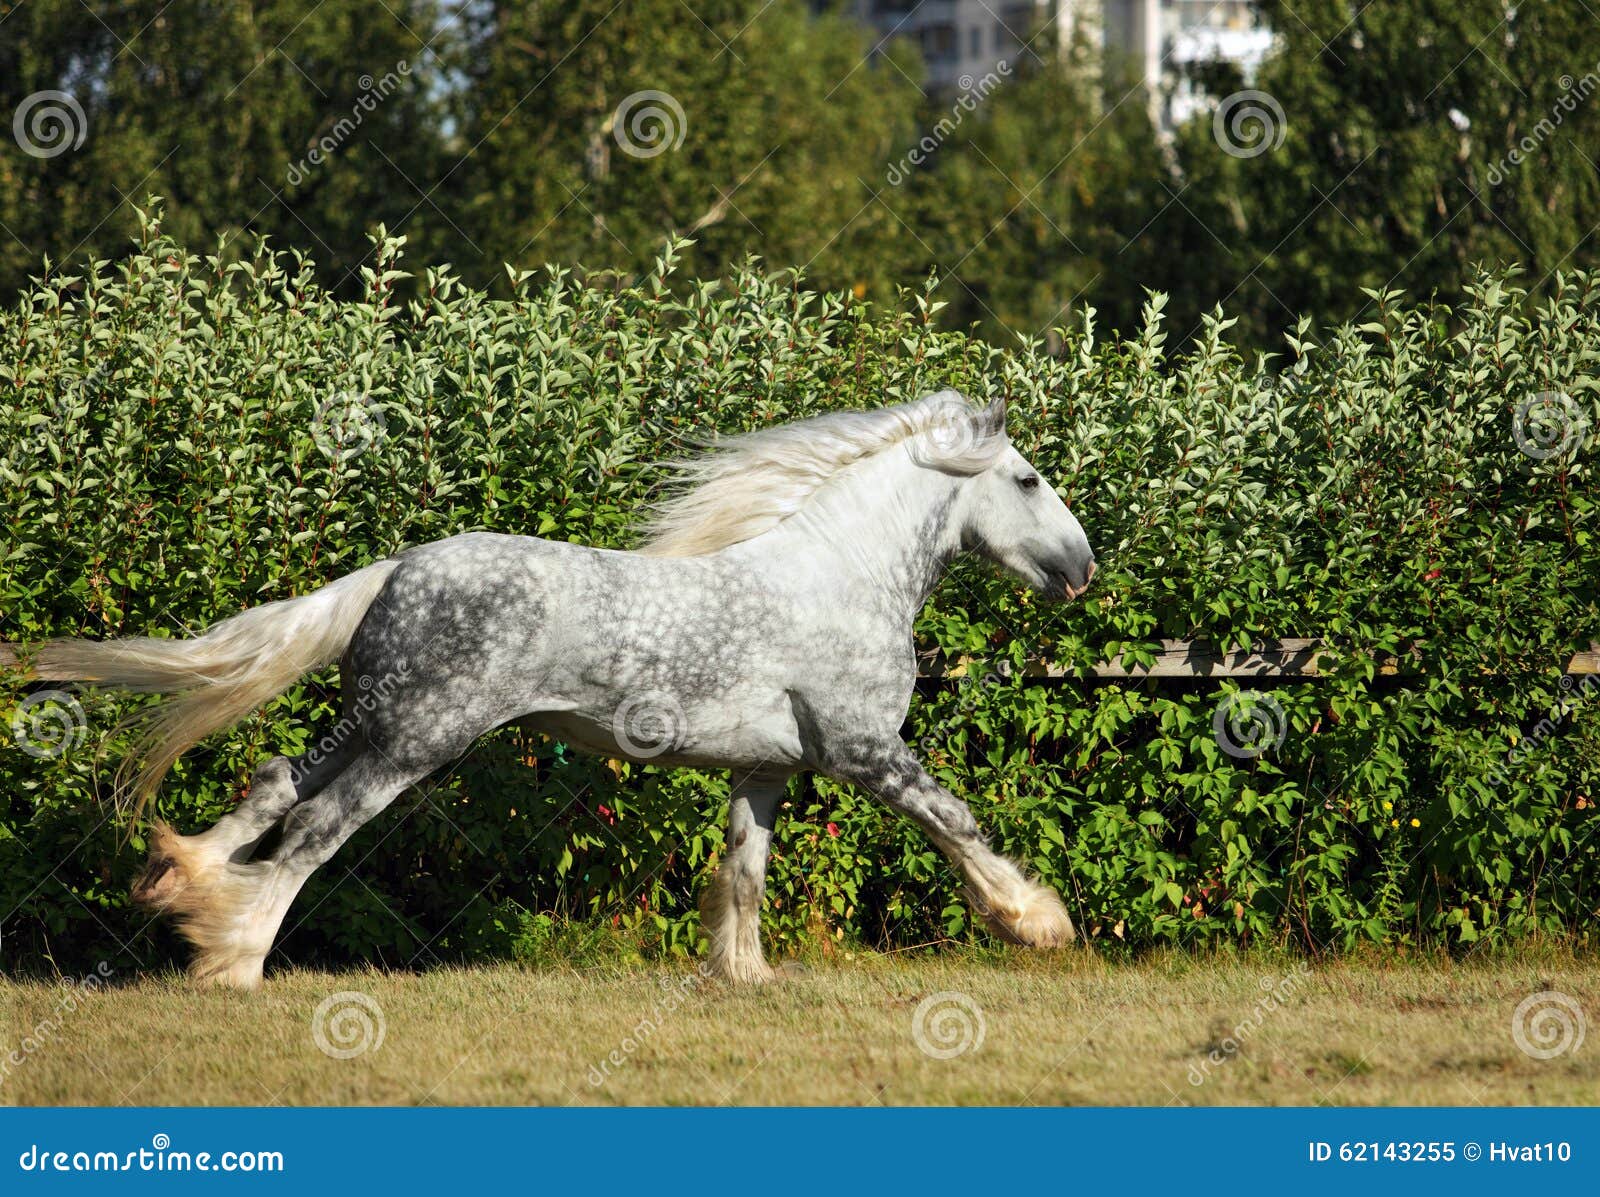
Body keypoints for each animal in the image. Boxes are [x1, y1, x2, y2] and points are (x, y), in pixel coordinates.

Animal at [6, 390, 1096, 988]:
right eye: (1029, 480)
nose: (1082, 569)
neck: (840, 576)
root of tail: (397, 569)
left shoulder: (767, 771)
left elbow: (744, 873)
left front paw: (742, 973)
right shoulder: (863, 749)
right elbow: (956, 820)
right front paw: (1036, 922)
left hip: (374, 720)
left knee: (277, 779)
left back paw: (177, 884)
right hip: (421, 738)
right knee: (316, 831)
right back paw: (232, 957)